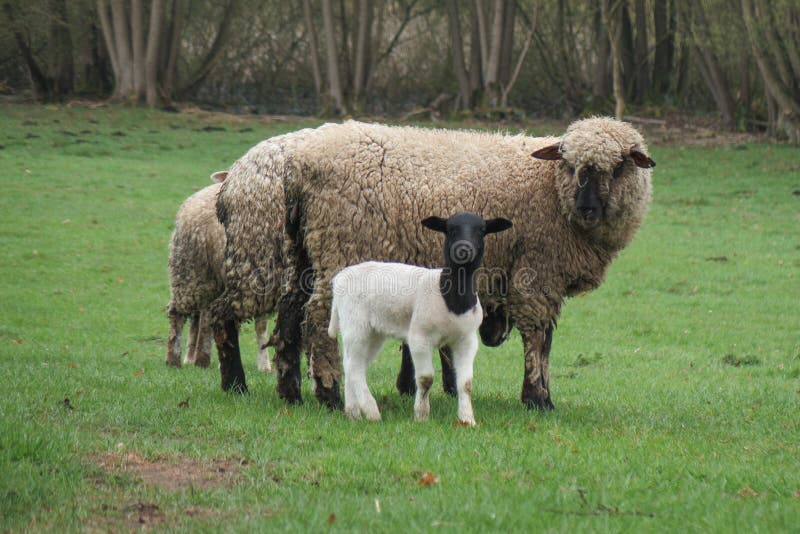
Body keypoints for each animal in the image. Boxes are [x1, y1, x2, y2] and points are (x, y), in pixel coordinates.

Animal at [165, 171, 271, 372]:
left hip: (198, 273)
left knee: (199, 316)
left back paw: (195, 358)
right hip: (191, 271)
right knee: (181, 314)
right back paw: (178, 359)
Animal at [328, 212, 513, 425]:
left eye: (481, 230)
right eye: (451, 229)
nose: (463, 249)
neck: (451, 299)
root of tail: (339, 278)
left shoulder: (466, 340)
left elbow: (466, 384)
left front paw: (468, 420)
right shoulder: (419, 337)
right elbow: (426, 378)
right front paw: (421, 415)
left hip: (373, 332)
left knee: (351, 364)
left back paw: (353, 413)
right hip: (355, 323)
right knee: (355, 366)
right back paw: (372, 411)